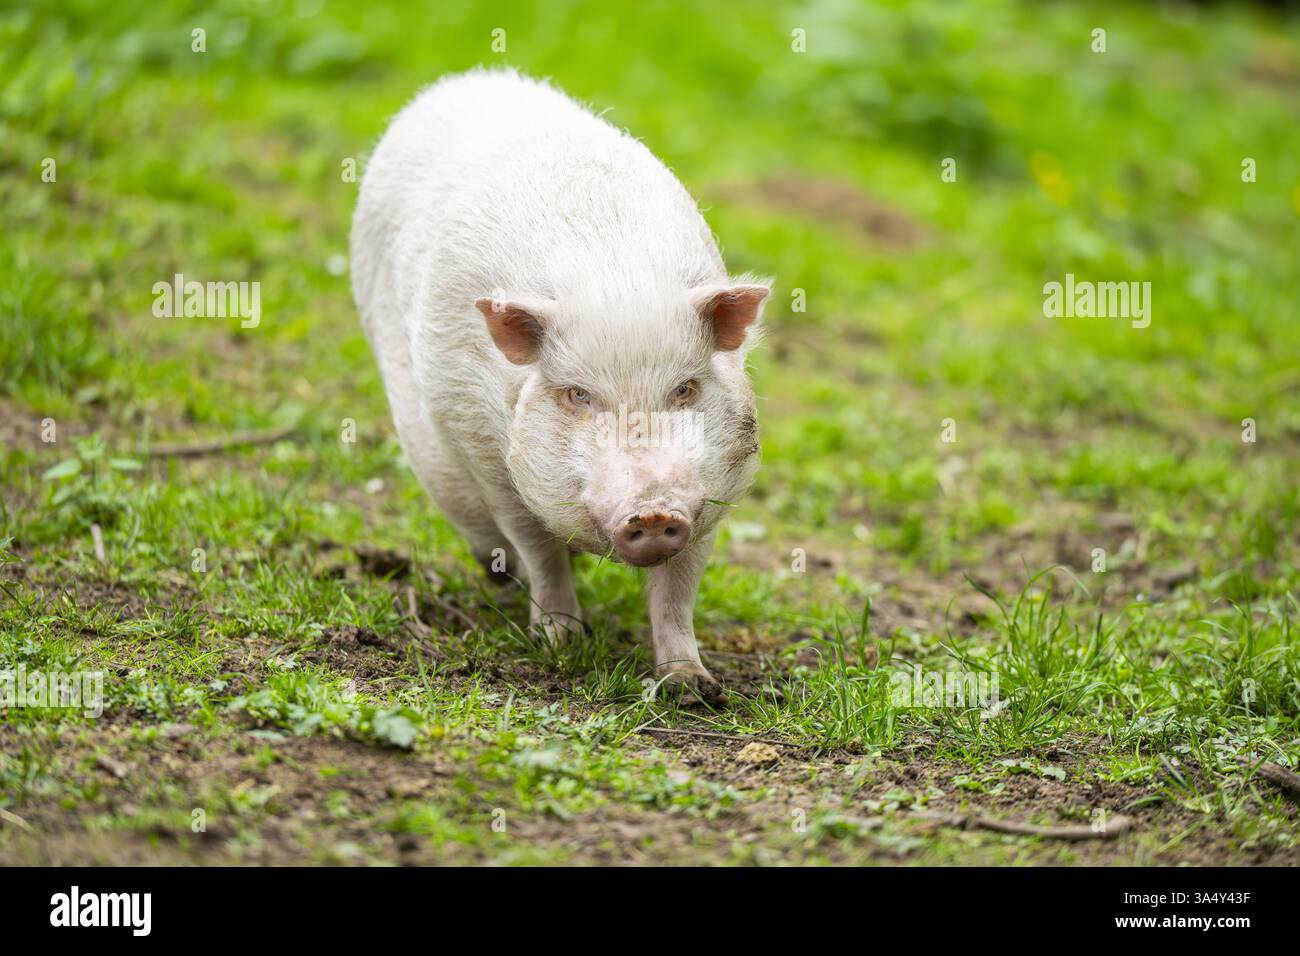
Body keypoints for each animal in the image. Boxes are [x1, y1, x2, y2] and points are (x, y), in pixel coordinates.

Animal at [350, 69, 769, 703]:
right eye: (577, 395)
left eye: (686, 389)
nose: (651, 511)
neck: (616, 281)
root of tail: (465, 81)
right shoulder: (488, 454)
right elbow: (538, 548)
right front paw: (561, 645)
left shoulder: (714, 491)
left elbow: (678, 590)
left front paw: (691, 685)